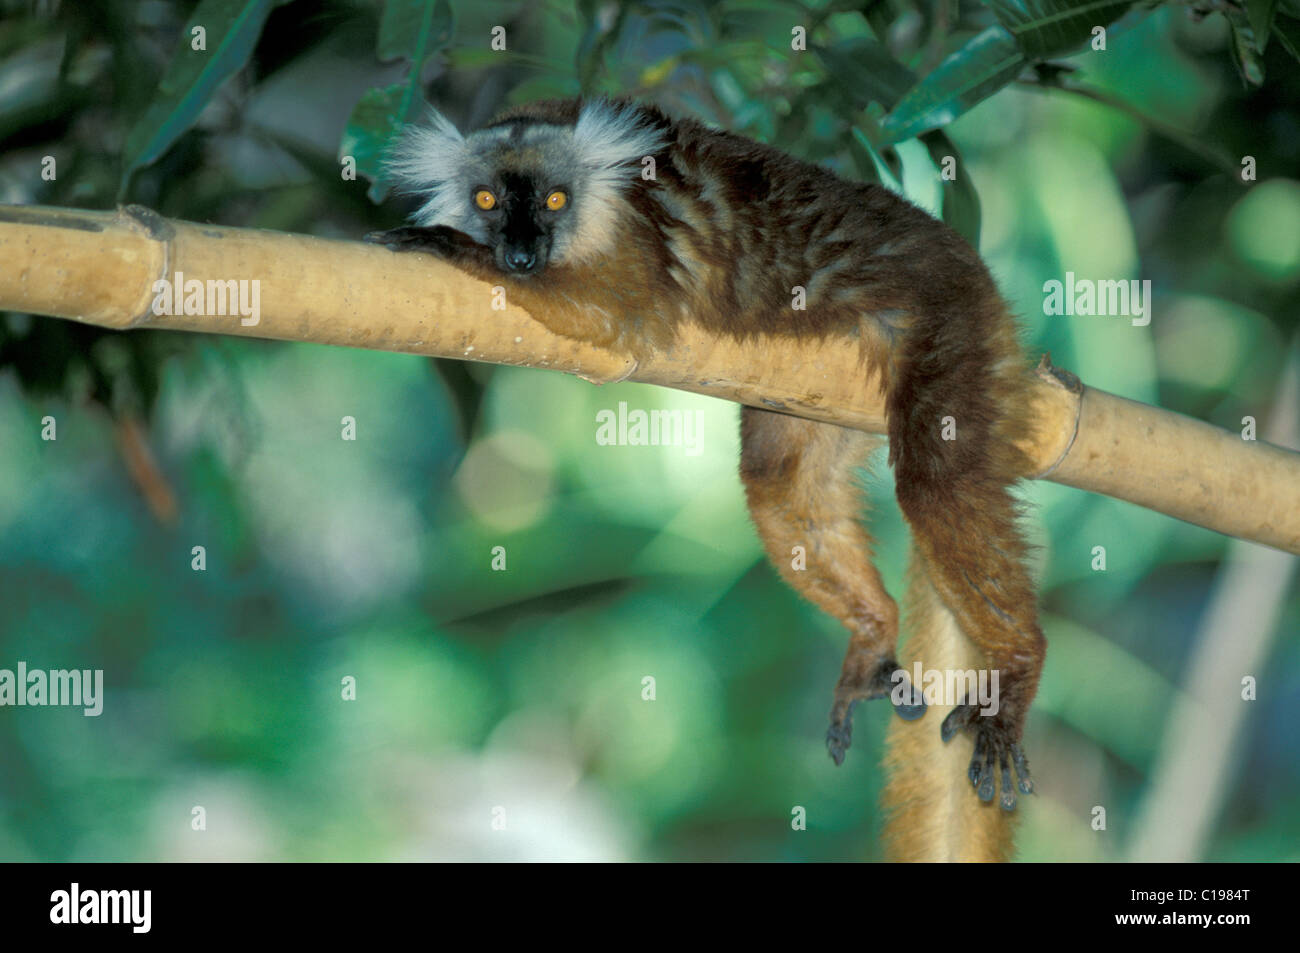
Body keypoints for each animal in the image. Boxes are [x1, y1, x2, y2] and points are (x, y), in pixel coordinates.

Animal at [366, 97, 1043, 830]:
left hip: (948, 315)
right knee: (777, 477)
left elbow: (617, 316)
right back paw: (872, 629)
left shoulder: (634, 239)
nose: (518, 257)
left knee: (934, 482)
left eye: (553, 200)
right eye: (487, 200)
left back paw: (1016, 670)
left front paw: (452, 248)